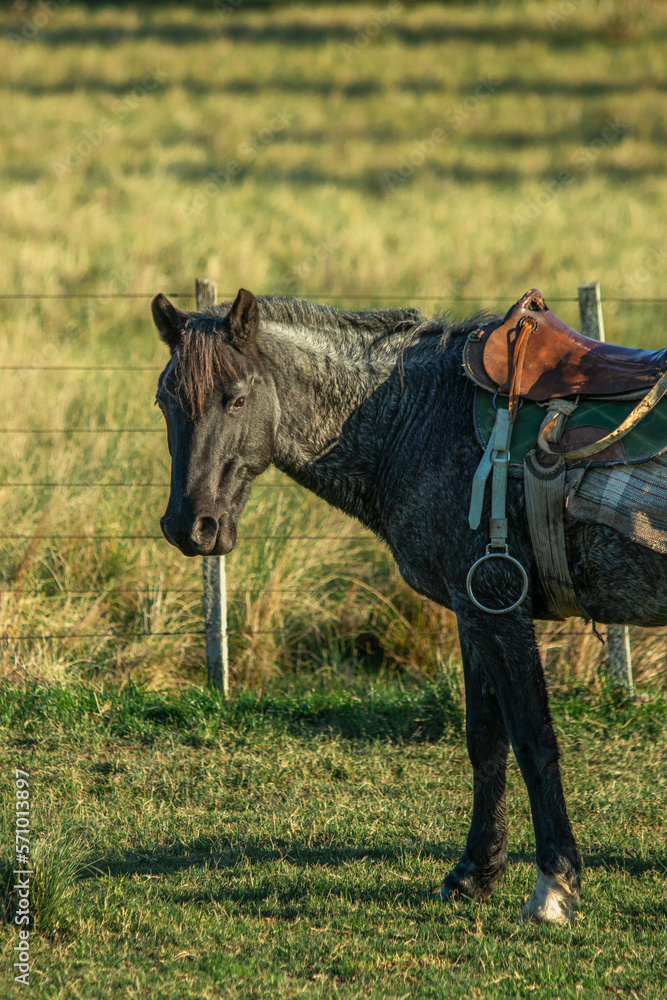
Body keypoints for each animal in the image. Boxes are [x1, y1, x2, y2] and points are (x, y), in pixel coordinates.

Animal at [151, 287, 667, 924]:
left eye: (237, 399)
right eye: (164, 402)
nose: (190, 527)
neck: (419, 420)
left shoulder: (500, 611)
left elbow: (533, 741)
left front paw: (553, 884)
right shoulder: (473, 614)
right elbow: (485, 743)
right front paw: (474, 875)